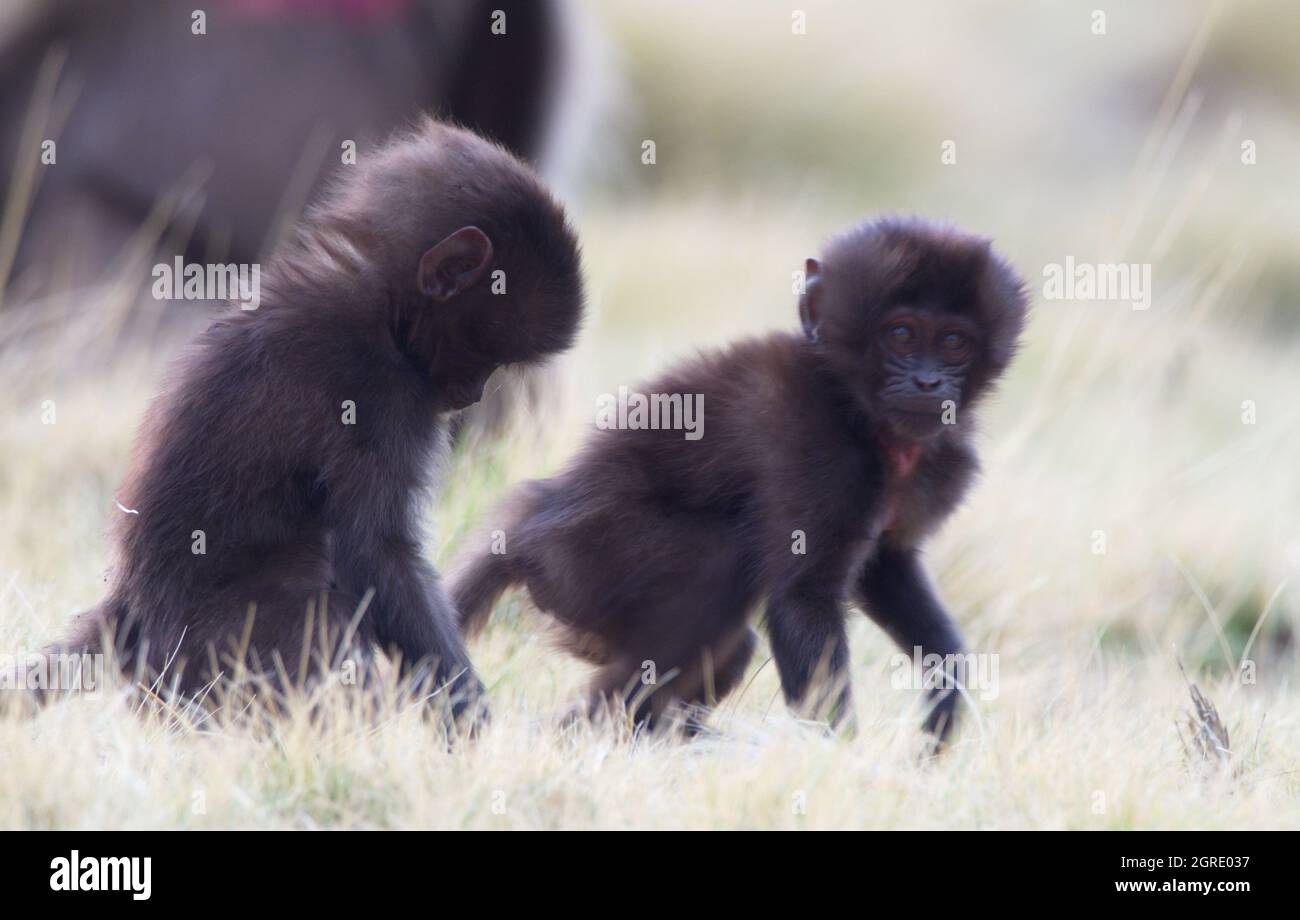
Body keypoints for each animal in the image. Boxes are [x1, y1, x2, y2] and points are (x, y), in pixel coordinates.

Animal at [33, 118, 585, 721]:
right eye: (487, 355)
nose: (475, 392)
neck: (376, 303)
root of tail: (128, 616)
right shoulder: (380, 397)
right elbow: (375, 552)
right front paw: (466, 716)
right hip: (208, 650)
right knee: (321, 614)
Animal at [451, 217, 1026, 741]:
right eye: (902, 334)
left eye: (954, 342)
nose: (929, 382)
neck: (857, 410)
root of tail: (532, 519)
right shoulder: (818, 446)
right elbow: (801, 596)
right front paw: (839, 759)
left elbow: (887, 566)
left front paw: (946, 689)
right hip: (579, 564)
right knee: (719, 559)